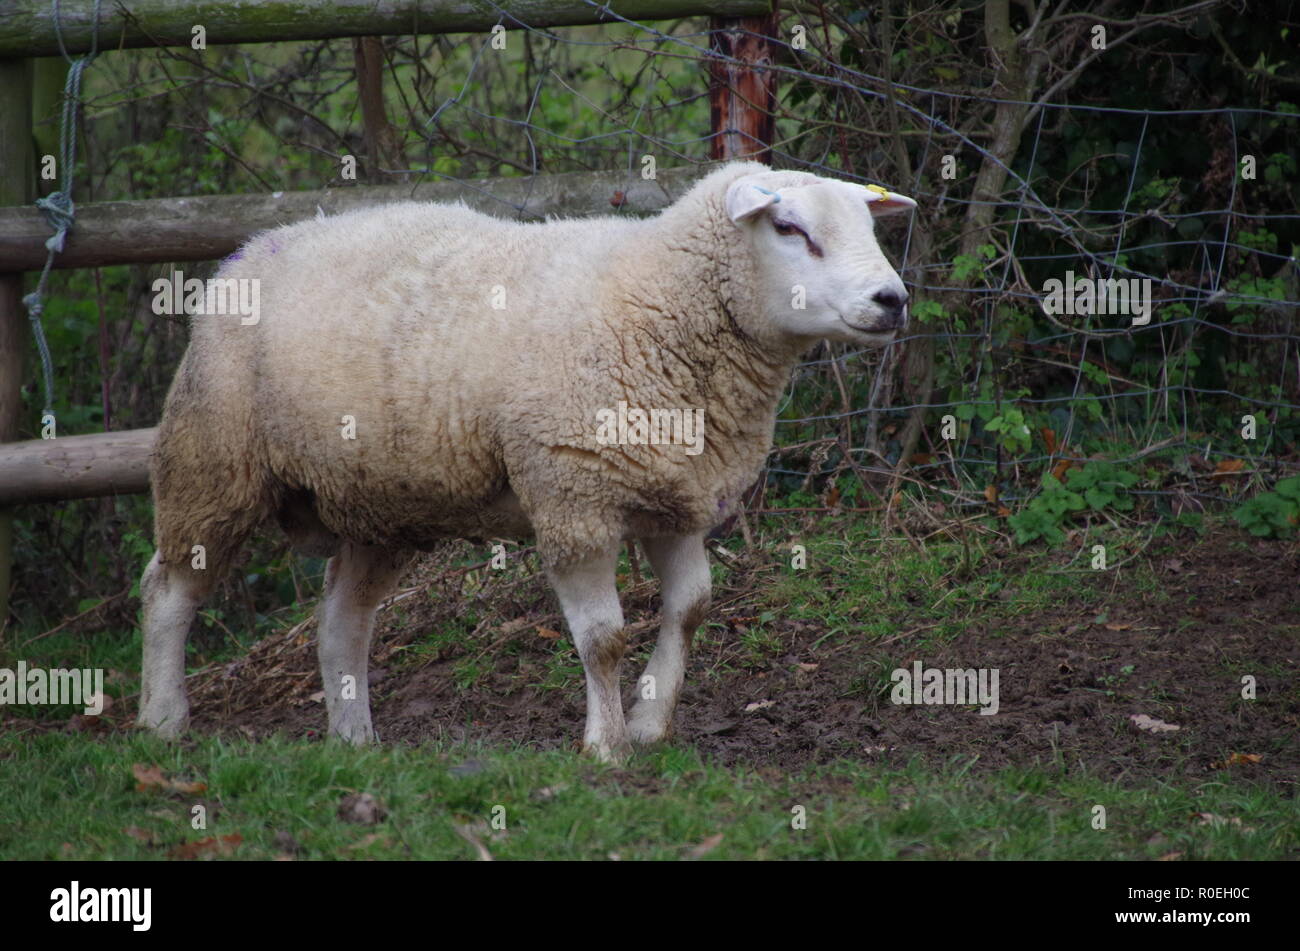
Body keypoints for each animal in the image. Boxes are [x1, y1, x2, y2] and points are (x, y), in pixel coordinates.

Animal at [136, 161, 916, 761]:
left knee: (340, 623)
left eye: (869, 227)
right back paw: (163, 721)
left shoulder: (676, 495)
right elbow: (603, 638)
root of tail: (254, 245)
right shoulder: (572, 493)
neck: (659, 303)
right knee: (169, 591)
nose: (893, 300)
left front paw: (649, 723)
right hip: (212, 459)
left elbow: (692, 608)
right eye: (790, 230)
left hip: (378, 504)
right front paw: (605, 746)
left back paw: (355, 740)